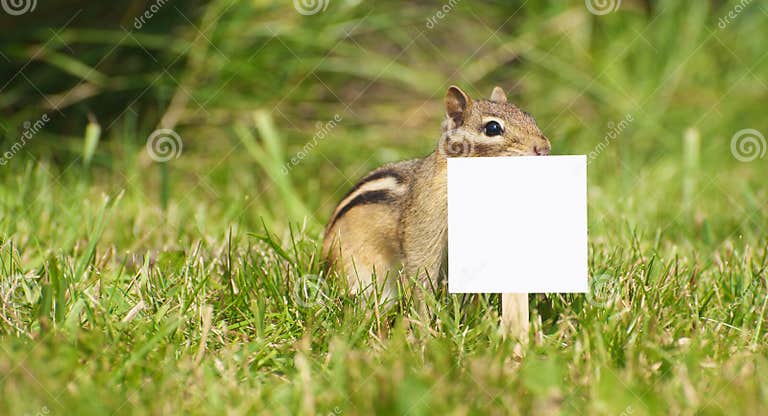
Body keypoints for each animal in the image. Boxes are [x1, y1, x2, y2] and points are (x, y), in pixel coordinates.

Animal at [322, 85, 551, 339]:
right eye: (492, 128)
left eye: (529, 115)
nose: (544, 148)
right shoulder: (424, 230)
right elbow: (422, 275)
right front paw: (425, 329)